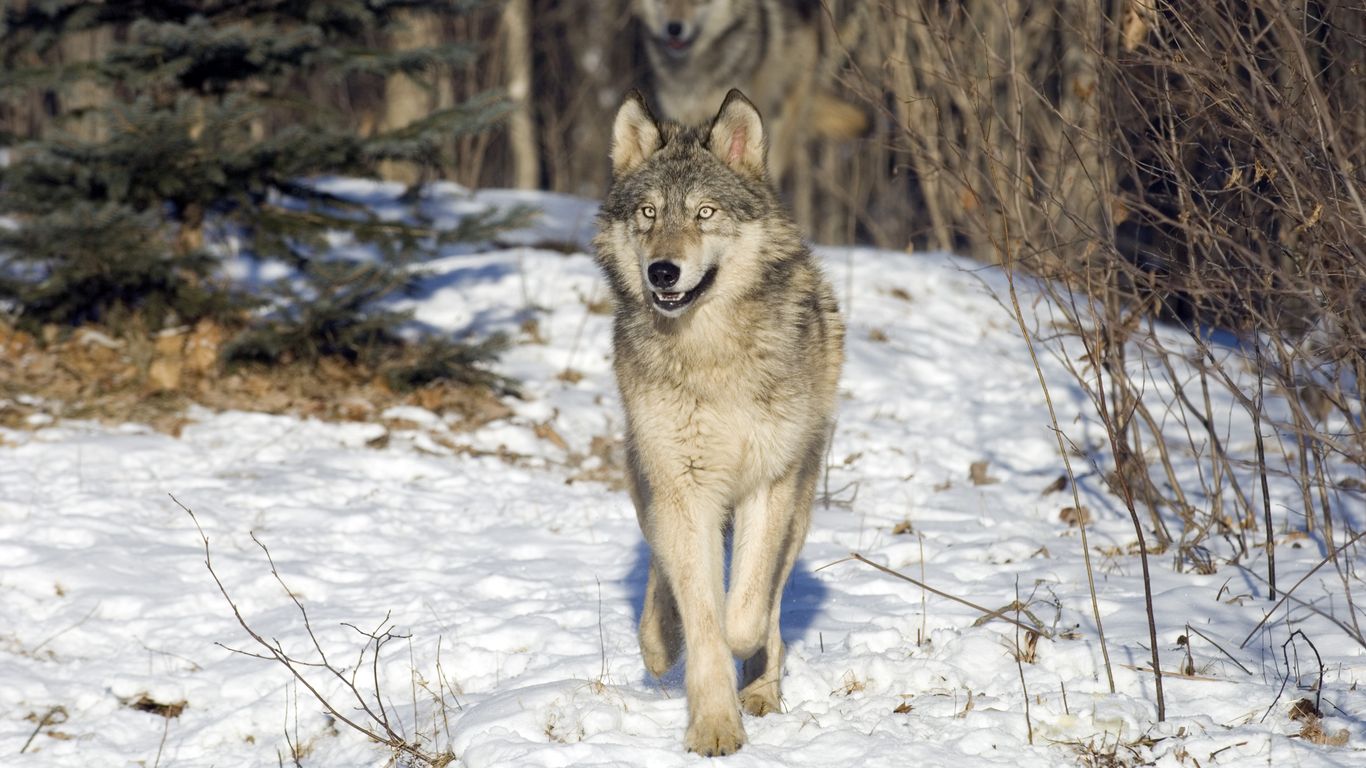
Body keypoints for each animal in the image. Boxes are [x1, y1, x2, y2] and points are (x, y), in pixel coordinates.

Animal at [593, 89, 844, 755]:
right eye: (649, 213)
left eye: (704, 213)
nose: (662, 271)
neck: (711, 354)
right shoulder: (683, 489)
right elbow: (702, 615)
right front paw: (712, 725)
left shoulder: (768, 484)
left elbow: (745, 612)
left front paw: (744, 667)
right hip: (648, 483)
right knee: (662, 573)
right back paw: (661, 642)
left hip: (800, 502)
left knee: (774, 599)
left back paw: (761, 690)